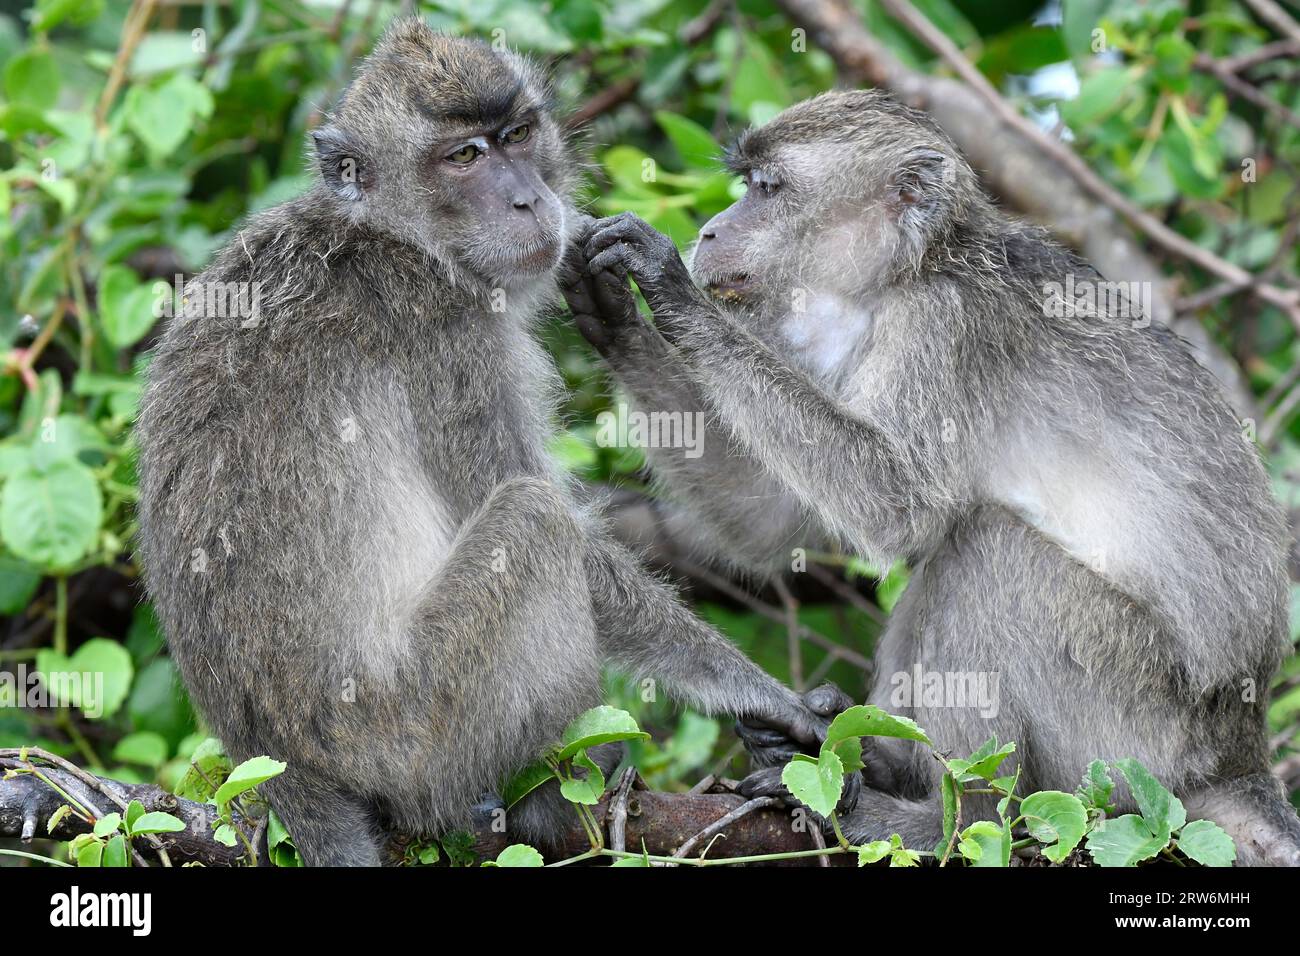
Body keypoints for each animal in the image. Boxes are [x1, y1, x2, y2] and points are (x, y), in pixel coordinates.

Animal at [134, 20, 825, 867]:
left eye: (516, 136)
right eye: (463, 156)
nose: (529, 197)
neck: (399, 235)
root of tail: (290, 773)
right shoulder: (449, 338)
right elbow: (557, 529)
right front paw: (770, 701)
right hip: (416, 727)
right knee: (532, 520)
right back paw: (562, 778)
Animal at [560, 89, 1300, 865]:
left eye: (767, 189)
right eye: (746, 186)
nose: (708, 230)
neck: (908, 273)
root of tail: (1236, 760)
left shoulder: (942, 326)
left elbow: (898, 507)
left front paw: (666, 286)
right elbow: (771, 523)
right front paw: (614, 314)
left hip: (1134, 739)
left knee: (987, 552)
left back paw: (949, 816)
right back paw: (862, 751)